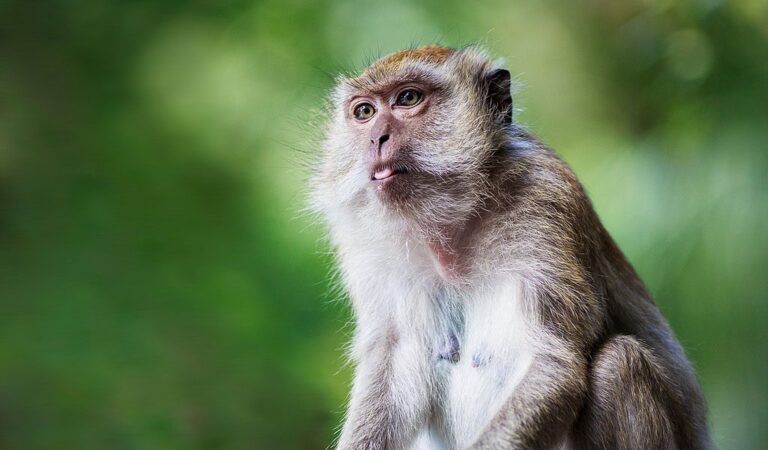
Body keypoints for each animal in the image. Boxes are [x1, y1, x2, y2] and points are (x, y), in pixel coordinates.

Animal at [310, 45, 710, 450]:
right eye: (364, 112)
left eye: (407, 98)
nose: (376, 137)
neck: (454, 228)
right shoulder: (363, 243)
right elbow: (393, 362)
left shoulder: (546, 200)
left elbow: (553, 364)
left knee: (619, 363)